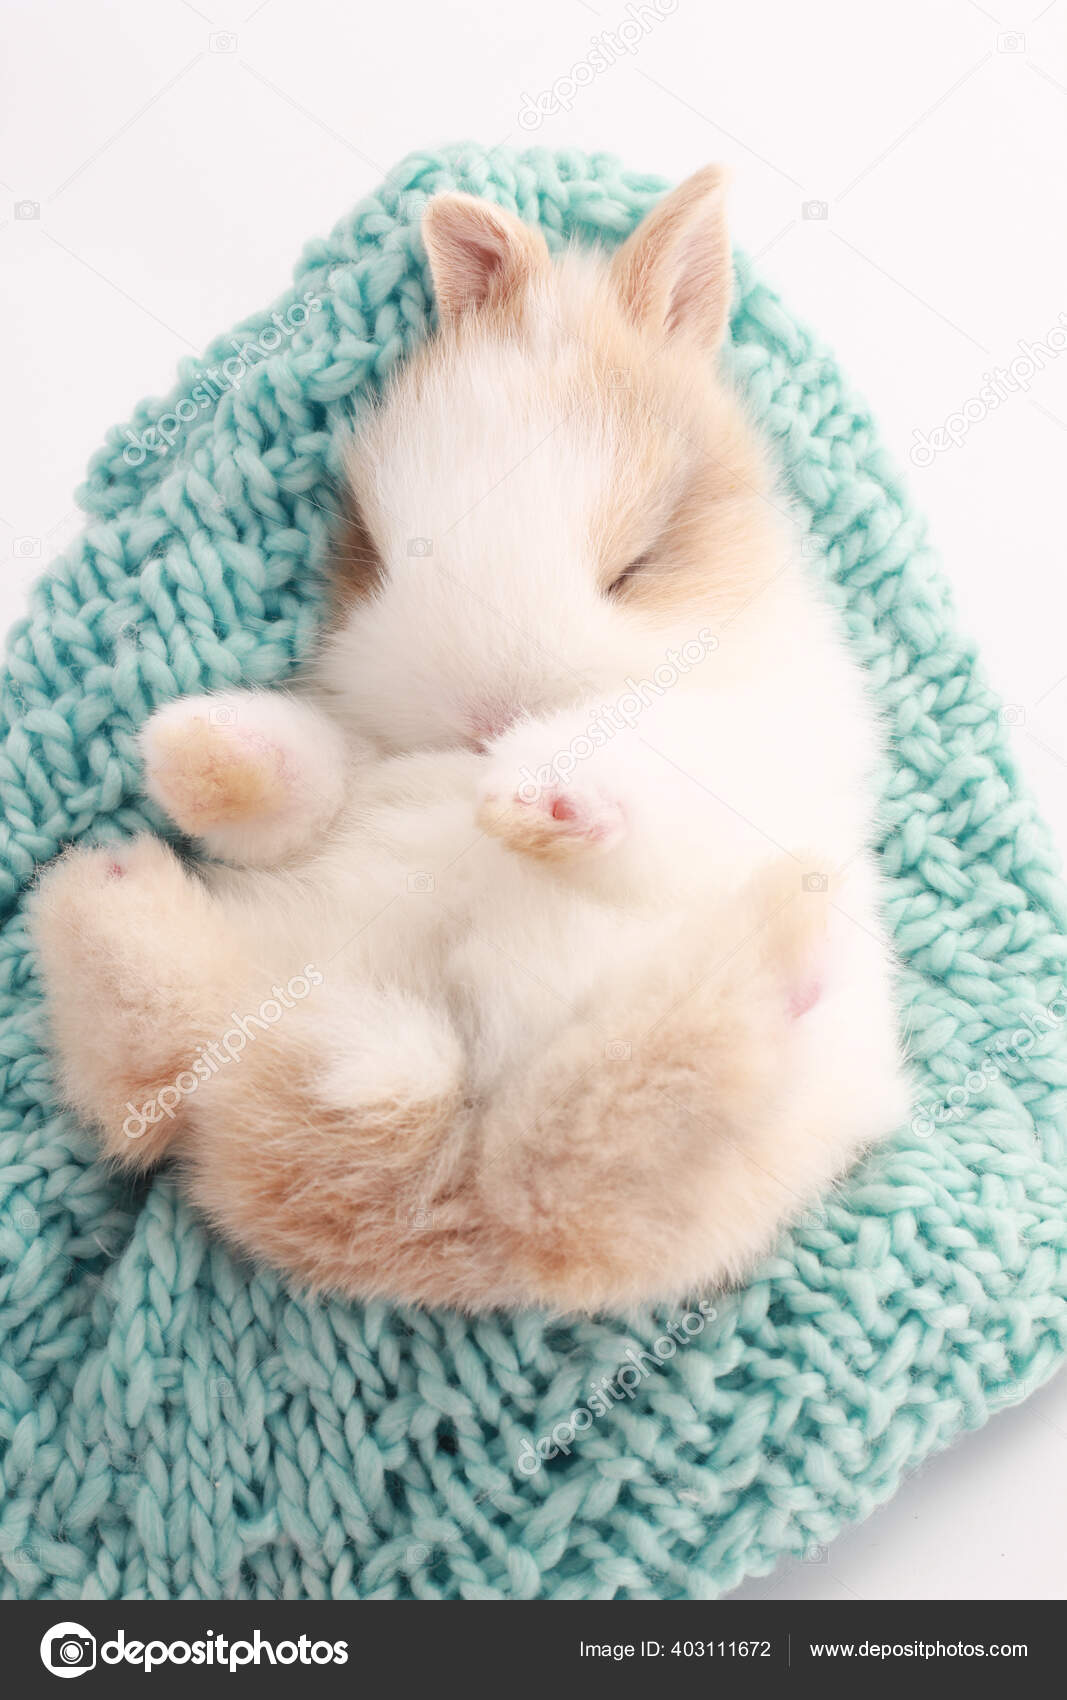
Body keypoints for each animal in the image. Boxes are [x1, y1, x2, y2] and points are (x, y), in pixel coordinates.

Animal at [30, 168, 910, 1315]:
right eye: (370, 544)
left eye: (637, 562)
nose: (491, 725)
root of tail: (445, 1163)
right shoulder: (370, 769)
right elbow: (315, 790)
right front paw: (190, 740)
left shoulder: (742, 752)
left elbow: (654, 786)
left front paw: (542, 794)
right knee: (171, 1060)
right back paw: (146, 830)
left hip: (702, 1136)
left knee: (593, 1165)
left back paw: (776, 938)